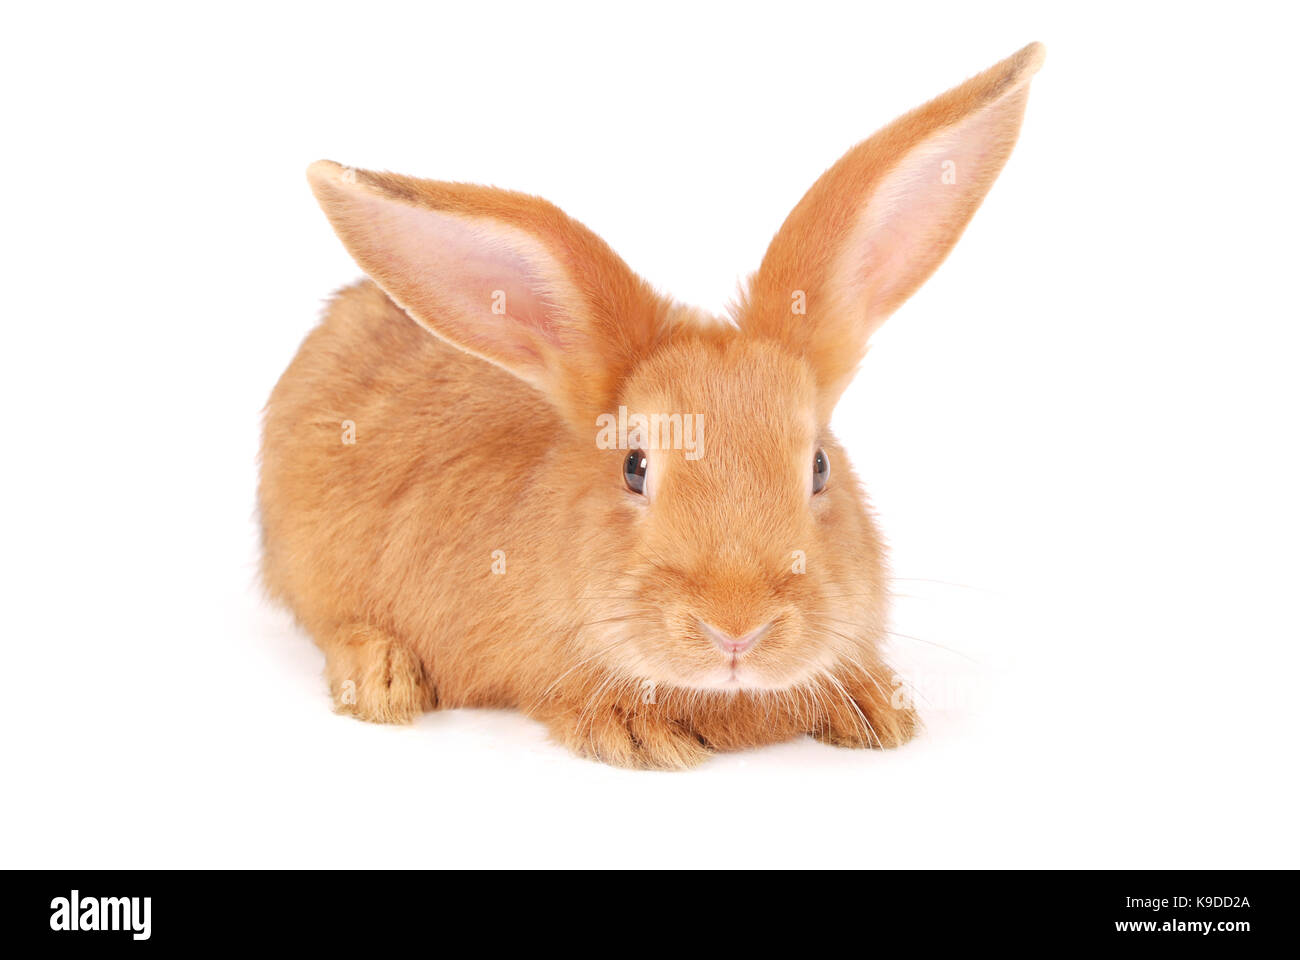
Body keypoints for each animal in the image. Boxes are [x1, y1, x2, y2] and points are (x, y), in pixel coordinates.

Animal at [259, 42, 1044, 769]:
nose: (737, 629)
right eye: (635, 466)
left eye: (820, 467)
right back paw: (380, 676)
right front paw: (635, 734)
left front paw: (876, 707)